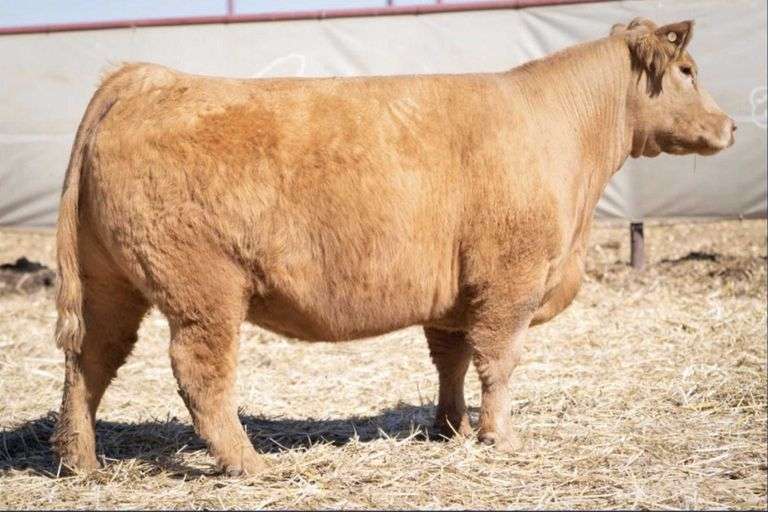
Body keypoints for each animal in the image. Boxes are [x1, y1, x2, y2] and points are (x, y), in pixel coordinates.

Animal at [52, 17, 735, 475]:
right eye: (688, 72)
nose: (730, 126)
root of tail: (145, 79)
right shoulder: (510, 279)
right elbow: (499, 360)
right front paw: (501, 437)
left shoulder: (456, 294)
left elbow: (451, 360)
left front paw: (451, 428)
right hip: (204, 292)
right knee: (199, 374)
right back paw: (250, 464)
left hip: (111, 283)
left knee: (90, 361)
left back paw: (82, 462)